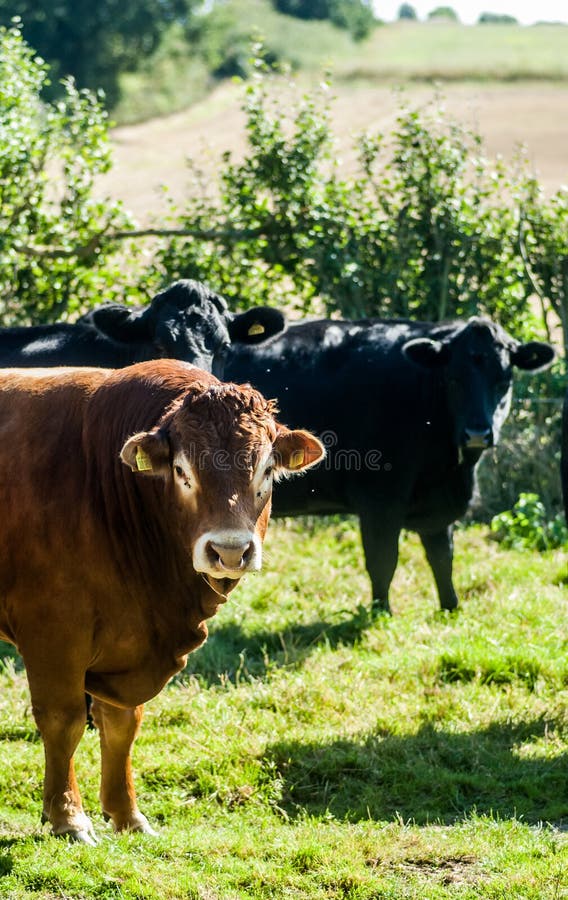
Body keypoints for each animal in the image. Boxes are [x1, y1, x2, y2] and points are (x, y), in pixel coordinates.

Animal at [0, 360, 324, 843]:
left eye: (266, 471)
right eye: (182, 471)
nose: (230, 550)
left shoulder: (131, 639)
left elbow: (122, 725)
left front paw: (127, 814)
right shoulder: (52, 632)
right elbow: (63, 720)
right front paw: (68, 817)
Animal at [225, 316, 554, 614]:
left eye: (504, 381)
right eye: (454, 379)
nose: (477, 433)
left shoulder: (437, 505)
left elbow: (443, 557)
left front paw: (451, 606)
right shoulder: (380, 500)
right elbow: (383, 560)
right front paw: (381, 610)